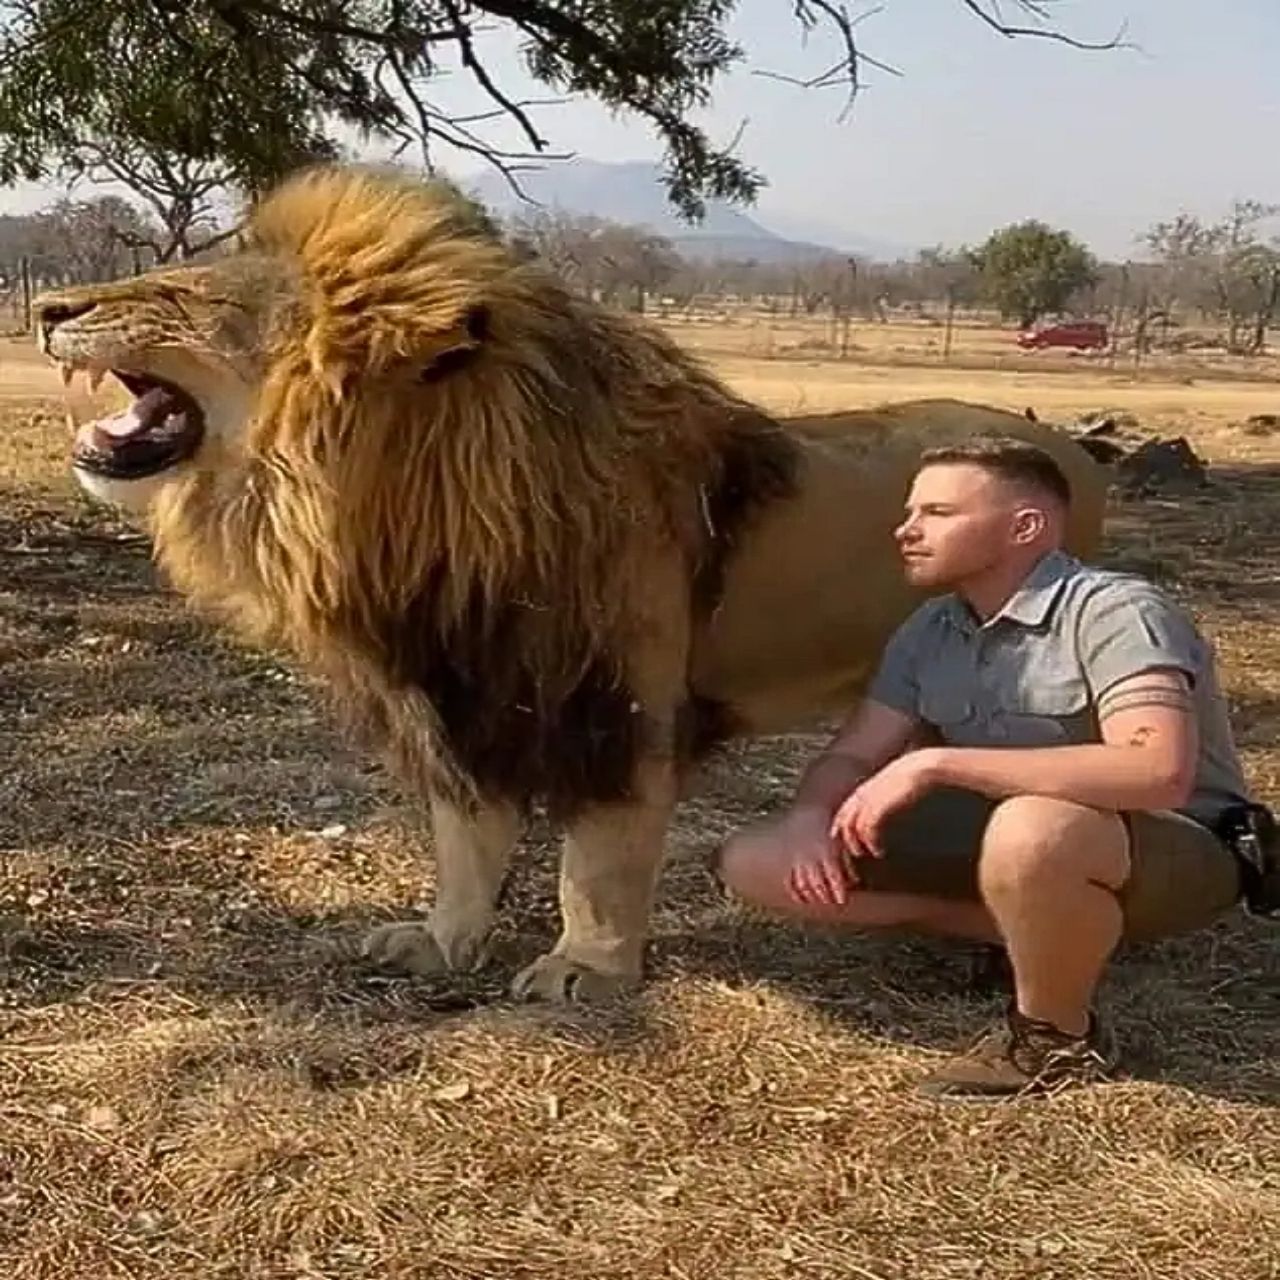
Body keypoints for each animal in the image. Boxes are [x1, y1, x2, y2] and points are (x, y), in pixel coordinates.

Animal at [33, 165, 1108, 1002]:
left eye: (191, 294)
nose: (45, 309)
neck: (404, 514)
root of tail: (1068, 449)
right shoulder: (459, 700)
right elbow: (466, 842)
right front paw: (444, 943)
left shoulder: (611, 704)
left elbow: (599, 859)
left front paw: (585, 970)